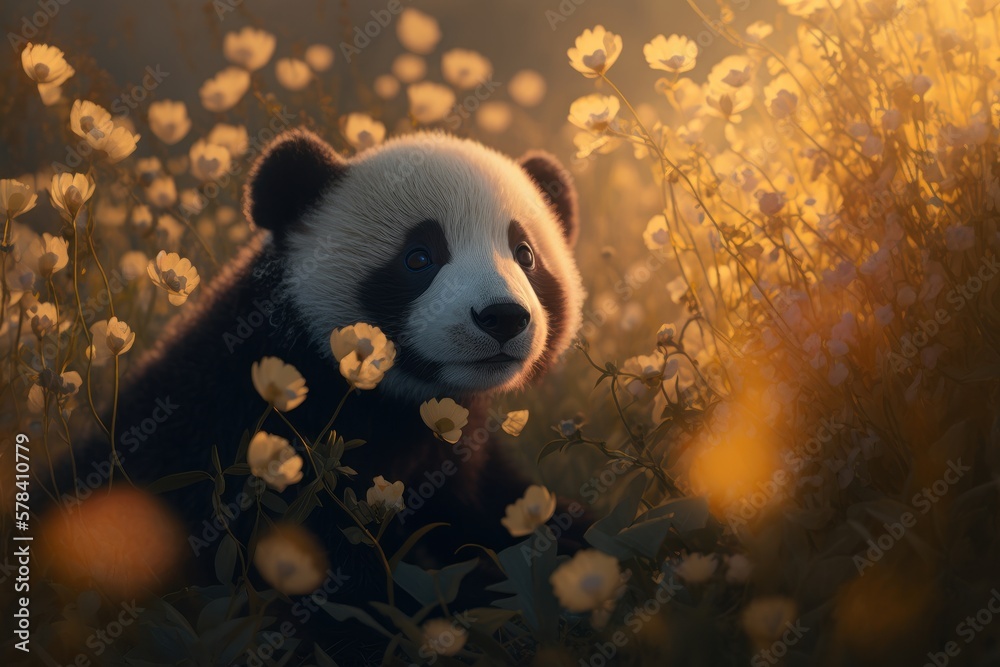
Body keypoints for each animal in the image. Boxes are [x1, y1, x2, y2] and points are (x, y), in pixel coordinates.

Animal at [49, 129, 586, 657]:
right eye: (419, 257)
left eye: (525, 254)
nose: (503, 317)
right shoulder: (248, 445)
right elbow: (341, 595)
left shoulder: (461, 459)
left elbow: (517, 511)